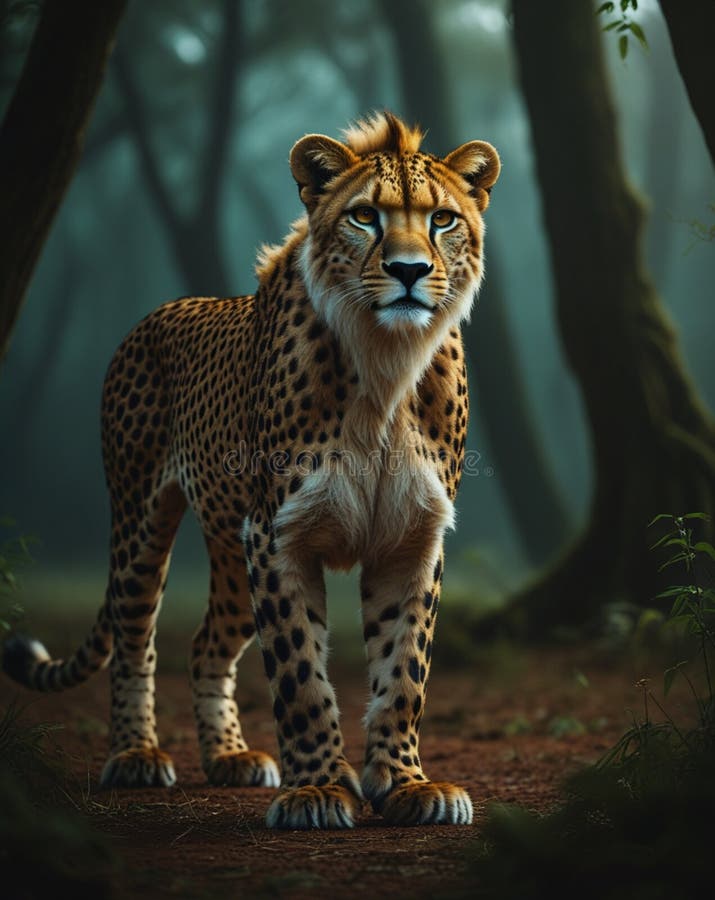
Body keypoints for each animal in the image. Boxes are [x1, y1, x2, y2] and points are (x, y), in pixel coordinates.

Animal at [2, 112, 500, 828]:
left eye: (441, 220)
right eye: (364, 217)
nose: (408, 270)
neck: (385, 360)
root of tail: (165, 310)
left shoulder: (411, 538)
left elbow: (404, 669)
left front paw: (406, 782)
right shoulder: (276, 534)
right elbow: (299, 673)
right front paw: (318, 788)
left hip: (231, 559)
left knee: (204, 644)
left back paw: (230, 757)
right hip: (140, 521)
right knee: (134, 638)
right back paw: (137, 756)